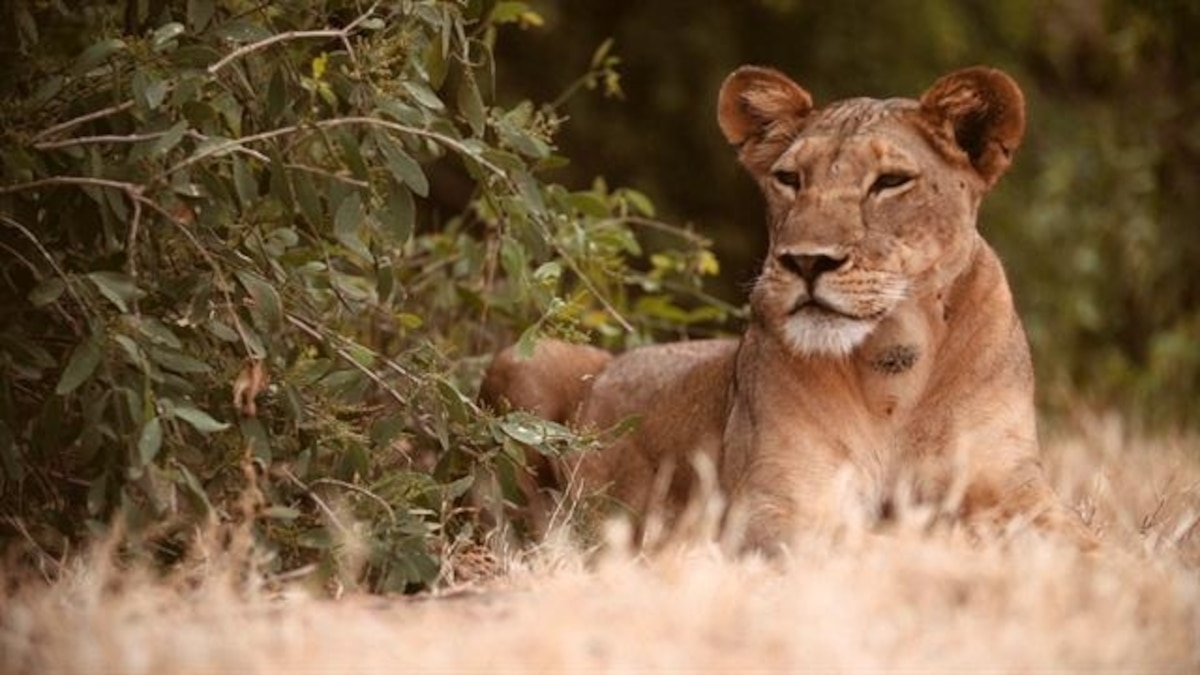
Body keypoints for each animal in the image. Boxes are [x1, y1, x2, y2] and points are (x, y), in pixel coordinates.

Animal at [481, 65, 1097, 552]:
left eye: (891, 181)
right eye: (788, 178)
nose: (806, 261)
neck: (894, 358)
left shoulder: (1016, 486)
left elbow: (1086, 541)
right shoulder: (776, 504)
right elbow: (878, 543)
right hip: (527, 360)